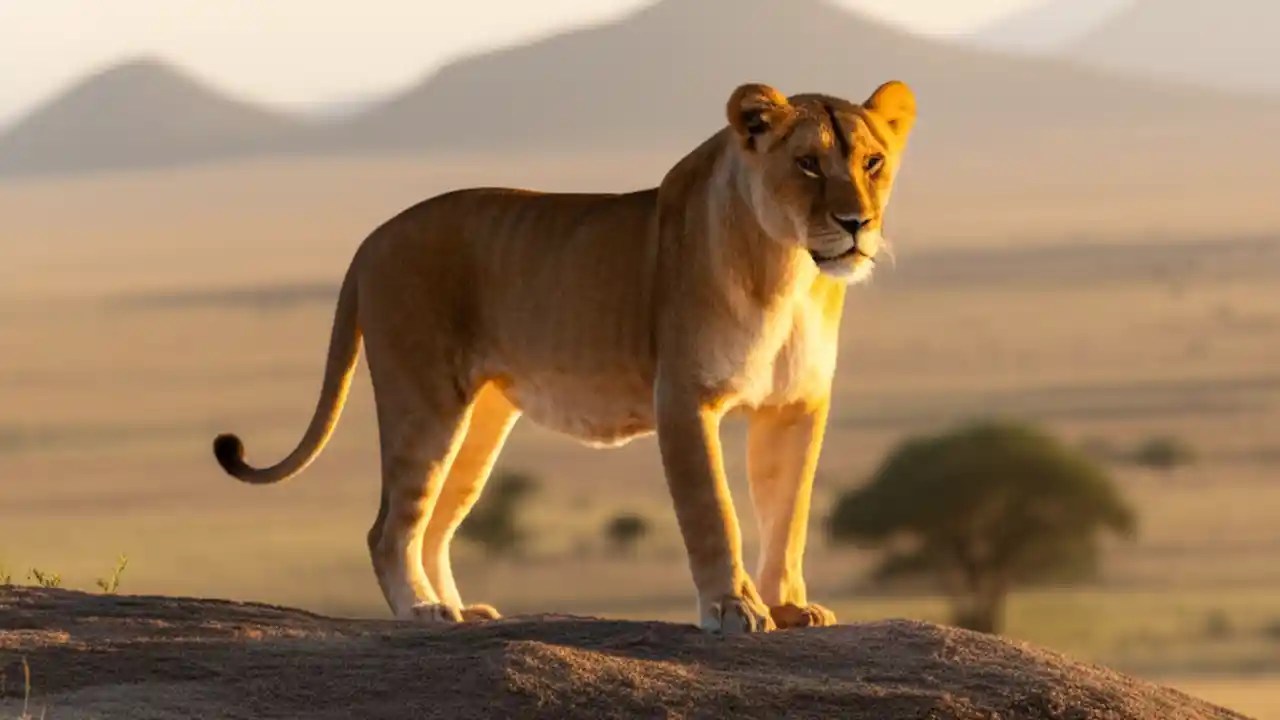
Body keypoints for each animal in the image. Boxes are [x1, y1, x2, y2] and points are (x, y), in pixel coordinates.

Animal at [213, 80, 917, 633]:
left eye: (874, 161)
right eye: (807, 164)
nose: (856, 223)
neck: (793, 272)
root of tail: (370, 240)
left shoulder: (796, 406)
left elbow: (787, 512)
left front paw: (791, 606)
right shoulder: (685, 397)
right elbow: (713, 510)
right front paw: (732, 608)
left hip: (481, 418)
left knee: (436, 522)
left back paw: (461, 611)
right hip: (424, 399)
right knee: (391, 525)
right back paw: (422, 611)